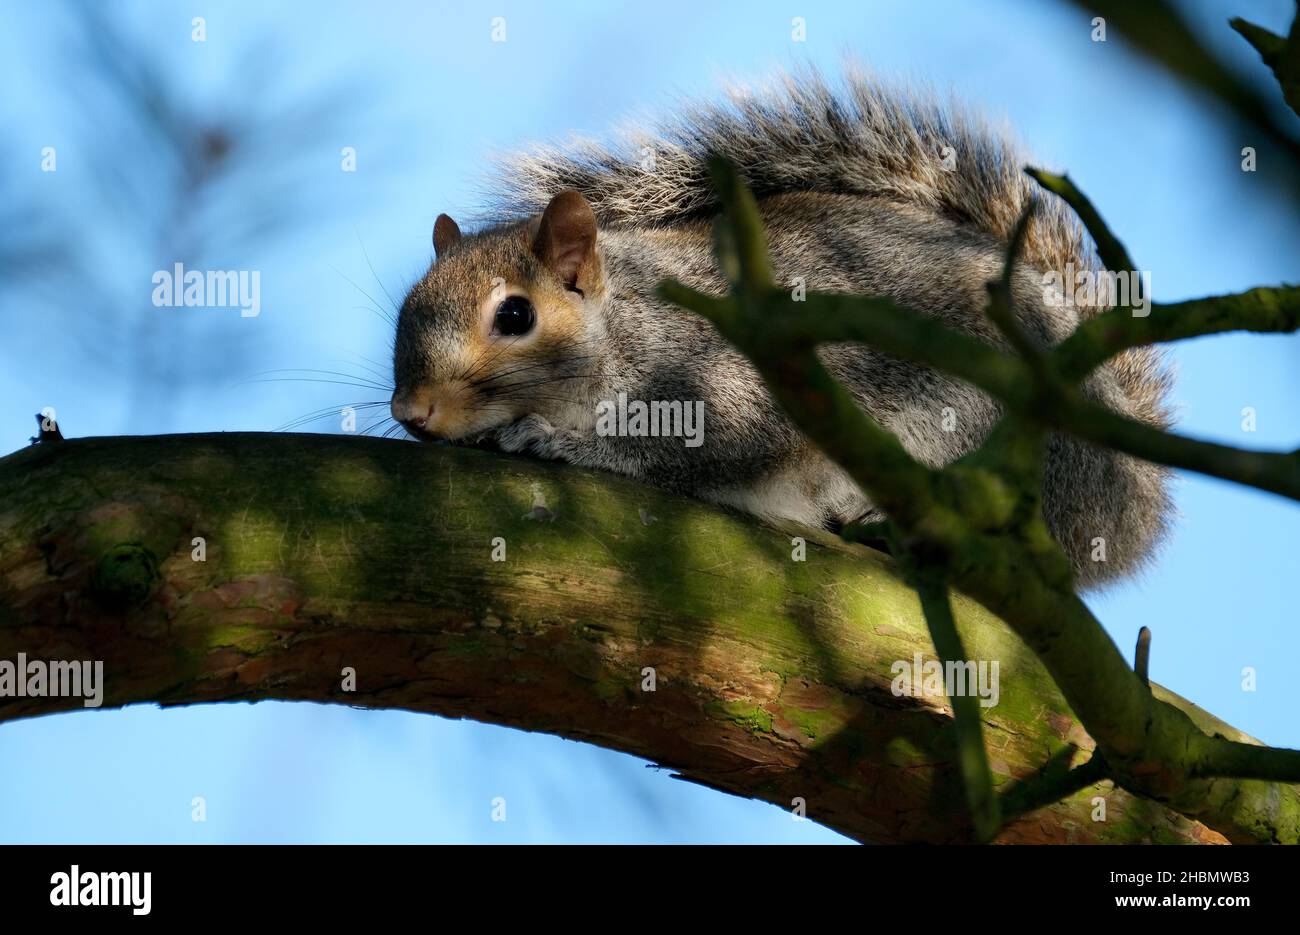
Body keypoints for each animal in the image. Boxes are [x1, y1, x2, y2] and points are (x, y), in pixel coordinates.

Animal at [390, 70, 1173, 588]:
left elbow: (696, 447)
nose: (410, 411)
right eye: (404, 310)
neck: (622, 326)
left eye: (515, 316)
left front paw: (554, 439)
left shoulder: (722, 378)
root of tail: (1129, 495)